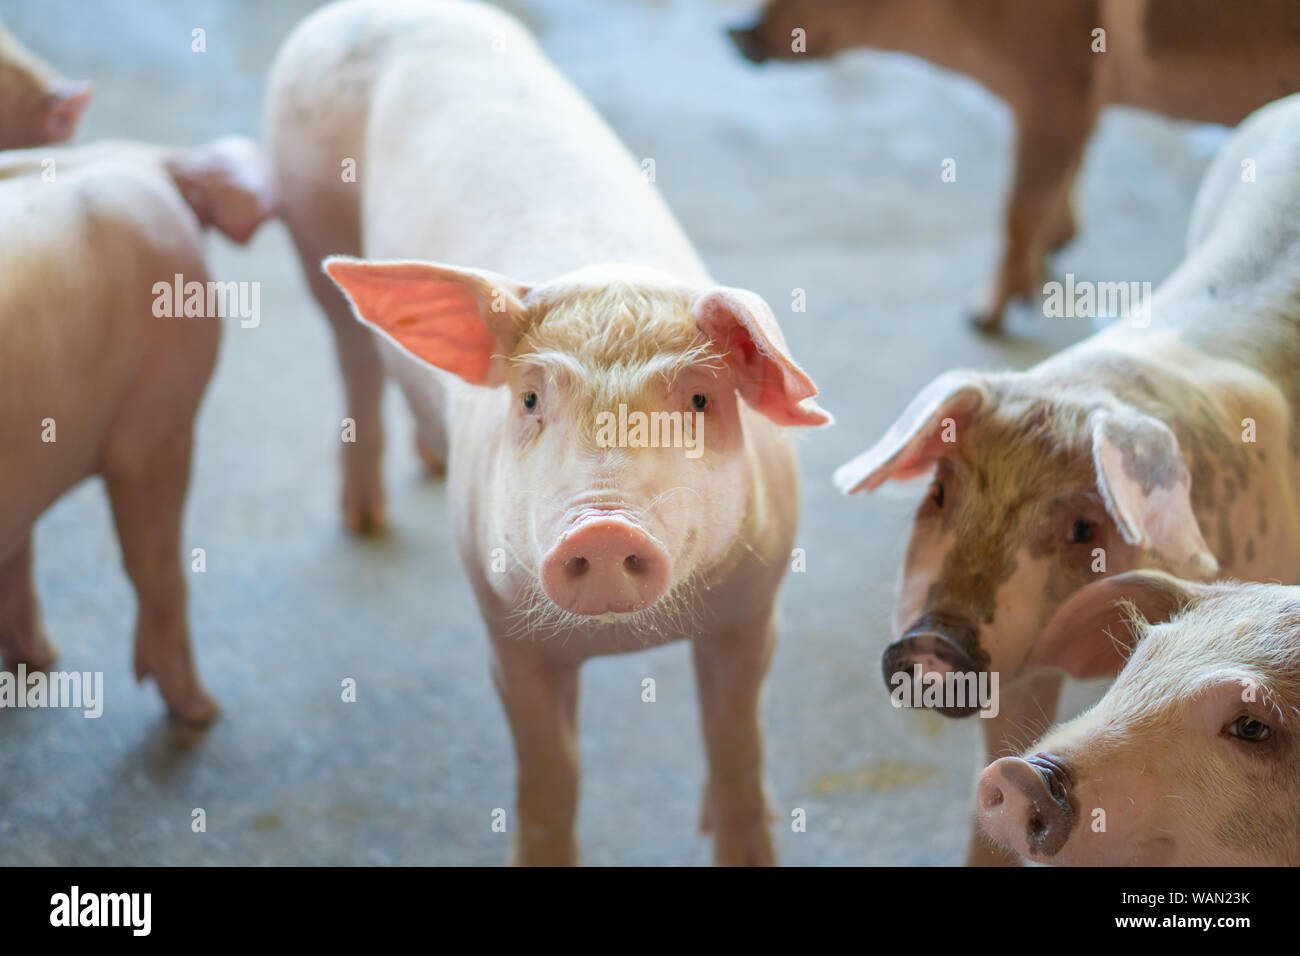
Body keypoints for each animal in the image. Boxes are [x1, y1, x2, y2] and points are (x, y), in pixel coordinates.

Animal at [0, 136, 276, 723]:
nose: (208, 711)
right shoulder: (158, 428)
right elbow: (158, 570)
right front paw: (203, 712)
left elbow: (22, 554)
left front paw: (41, 661)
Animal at [266, 0, 831, 865]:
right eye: (531, 399)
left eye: (701, 399)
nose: (601, 527)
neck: (630, 642)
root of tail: (367, 12)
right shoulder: (503, 625)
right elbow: (551, 771)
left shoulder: (755, 607)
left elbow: (736, 743)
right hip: (305, 217)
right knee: (354, 359)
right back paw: (362, 519)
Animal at [728, 0, 1300, 332]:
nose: (733, 31)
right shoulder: (1082, 104)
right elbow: (1067, 174)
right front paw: (1051, 256)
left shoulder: (1056, 86)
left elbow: (1018, 206)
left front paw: (980, 317)